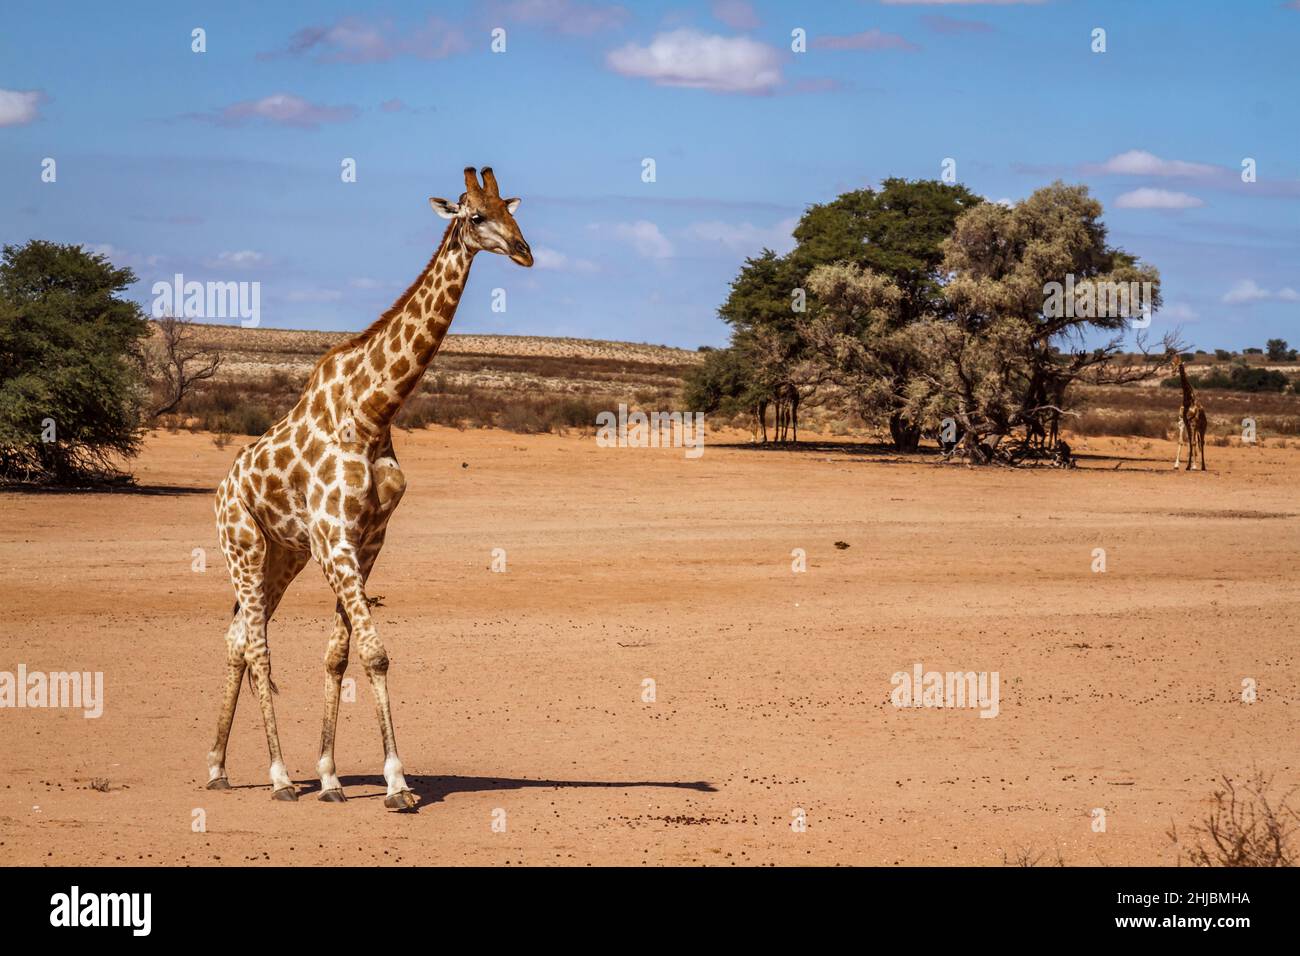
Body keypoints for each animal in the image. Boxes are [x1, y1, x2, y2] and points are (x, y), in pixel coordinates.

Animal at [206, 167, 532, 808]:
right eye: (475, 215)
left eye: (510, 209)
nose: (524, 251)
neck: (373, 411)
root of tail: (224, 487)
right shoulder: (335, 539)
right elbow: (376, 653)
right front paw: (397, 783)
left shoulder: (366, 538)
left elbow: (340, 655)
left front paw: (333, 776)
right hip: (243, 547)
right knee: (255, 644)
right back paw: (278, 778)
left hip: (283, 554)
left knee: (236, 637)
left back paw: (218, 767)